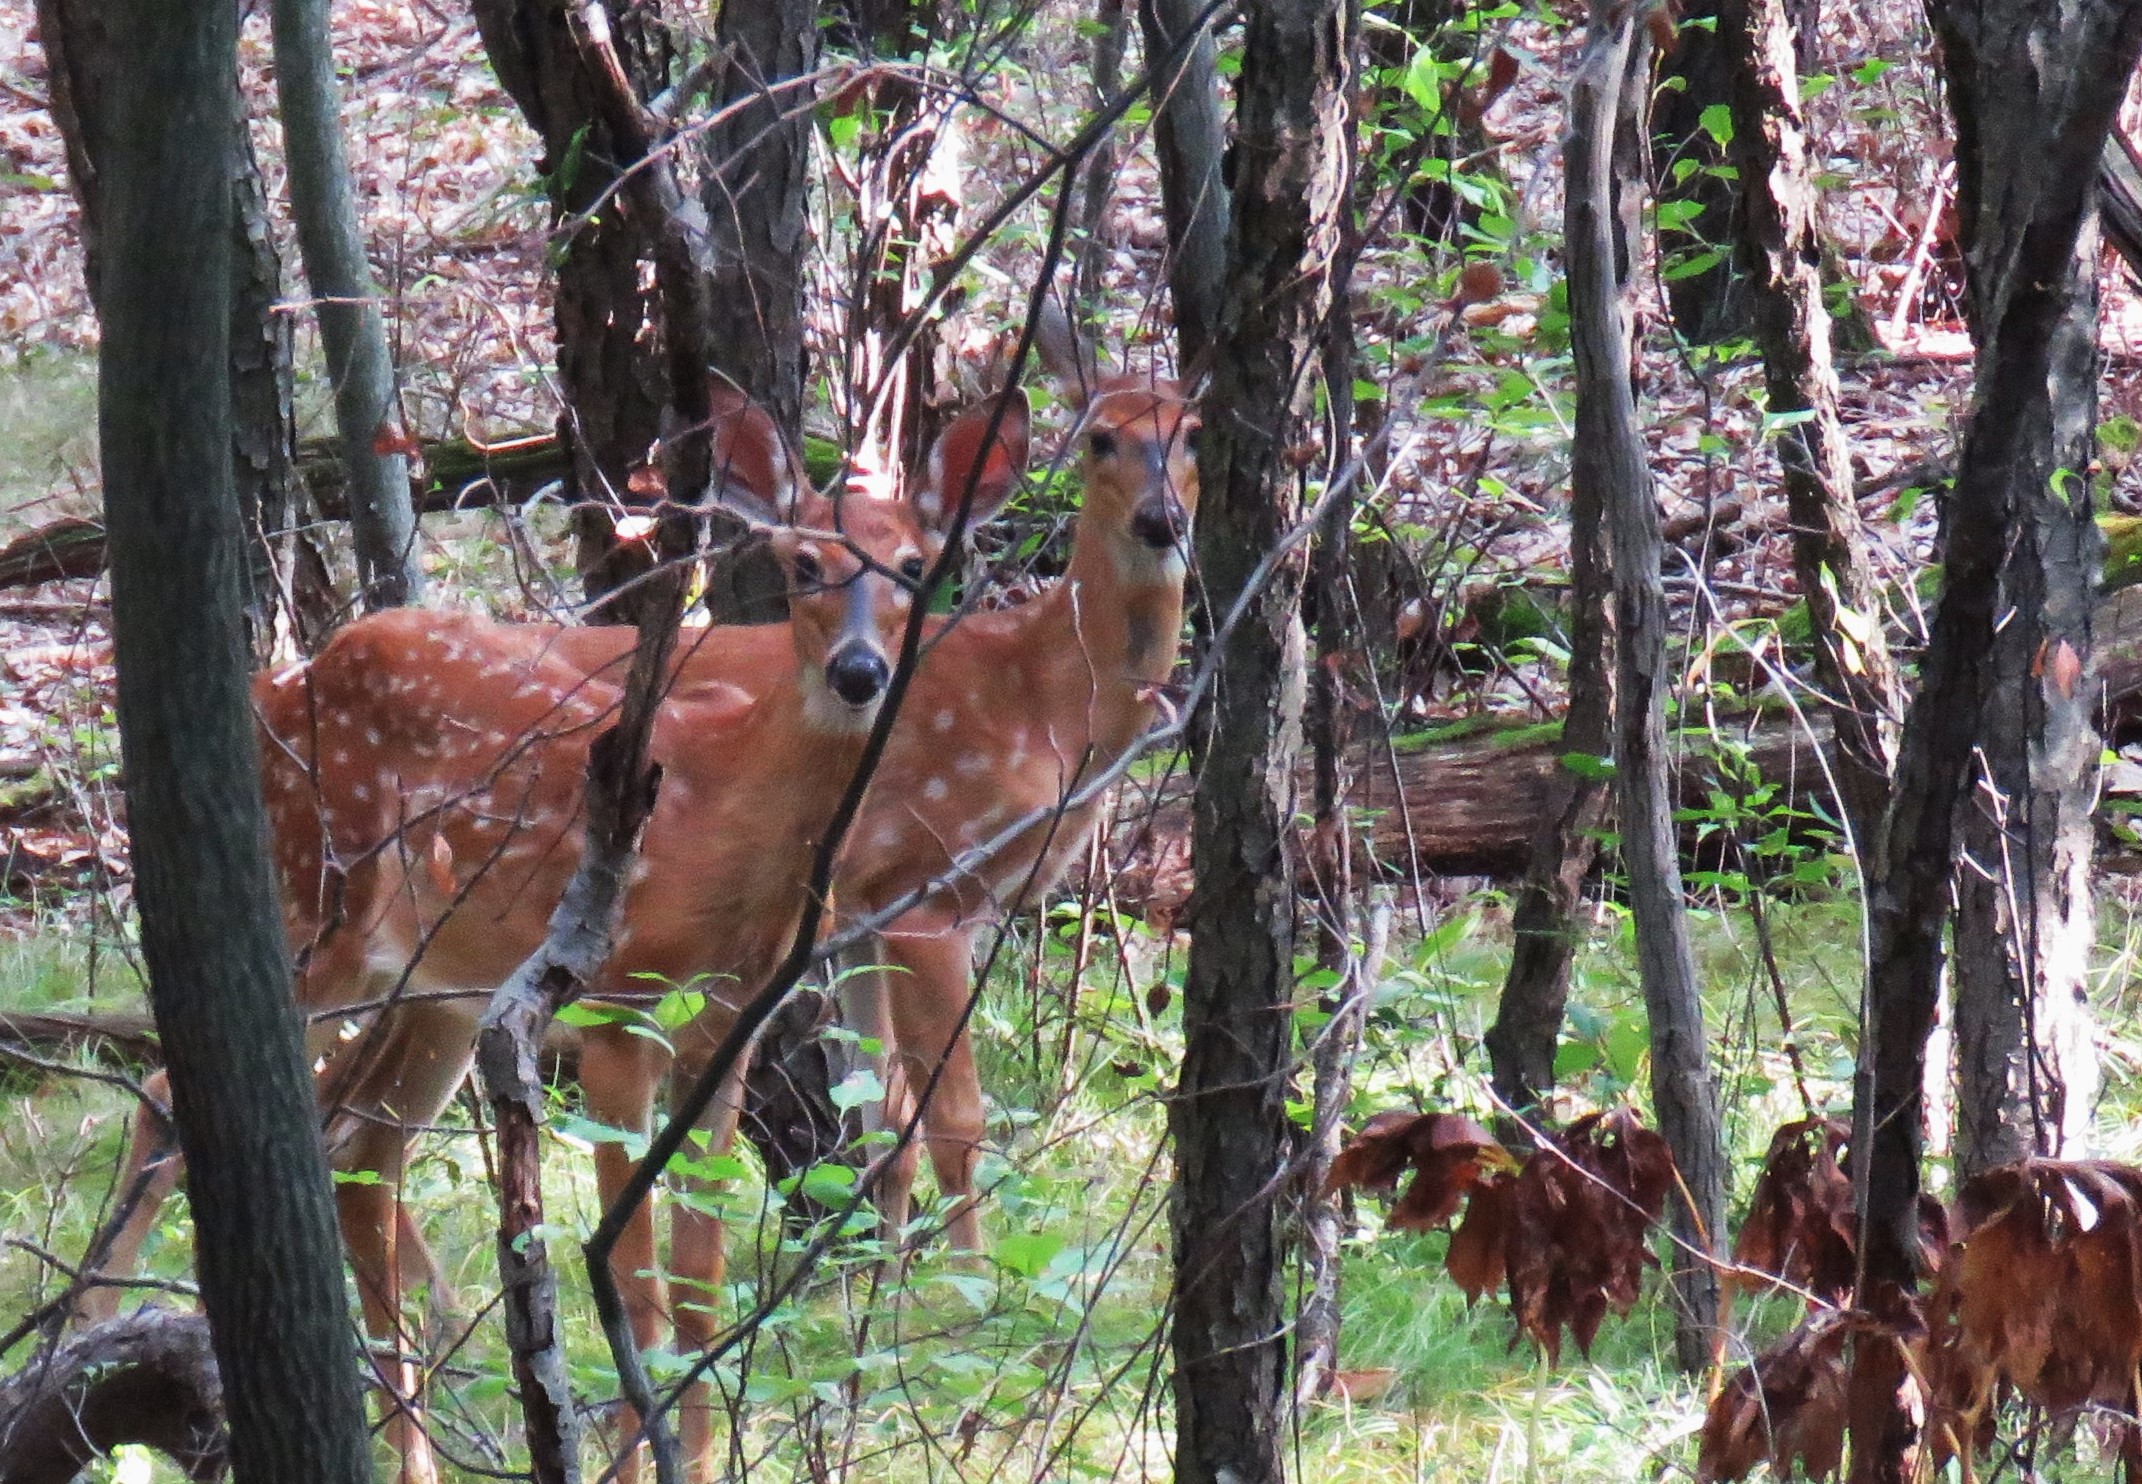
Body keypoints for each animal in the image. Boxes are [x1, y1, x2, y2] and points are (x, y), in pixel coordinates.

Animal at [85, 387, 1032, 1484]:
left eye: (917, 564)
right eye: (804, 562)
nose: (860, 669)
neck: (727, 813)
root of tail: (273, 681)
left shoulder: (728, 1027)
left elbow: (700, 1276)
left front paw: (697, 1459)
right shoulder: (618, 1010)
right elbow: (634, 1278)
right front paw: (638, 1454)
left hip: (440, 989)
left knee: (363, 1141)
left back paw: (405, 1448)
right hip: (311, 916)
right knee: (176, 1091)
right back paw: (93, 1362)